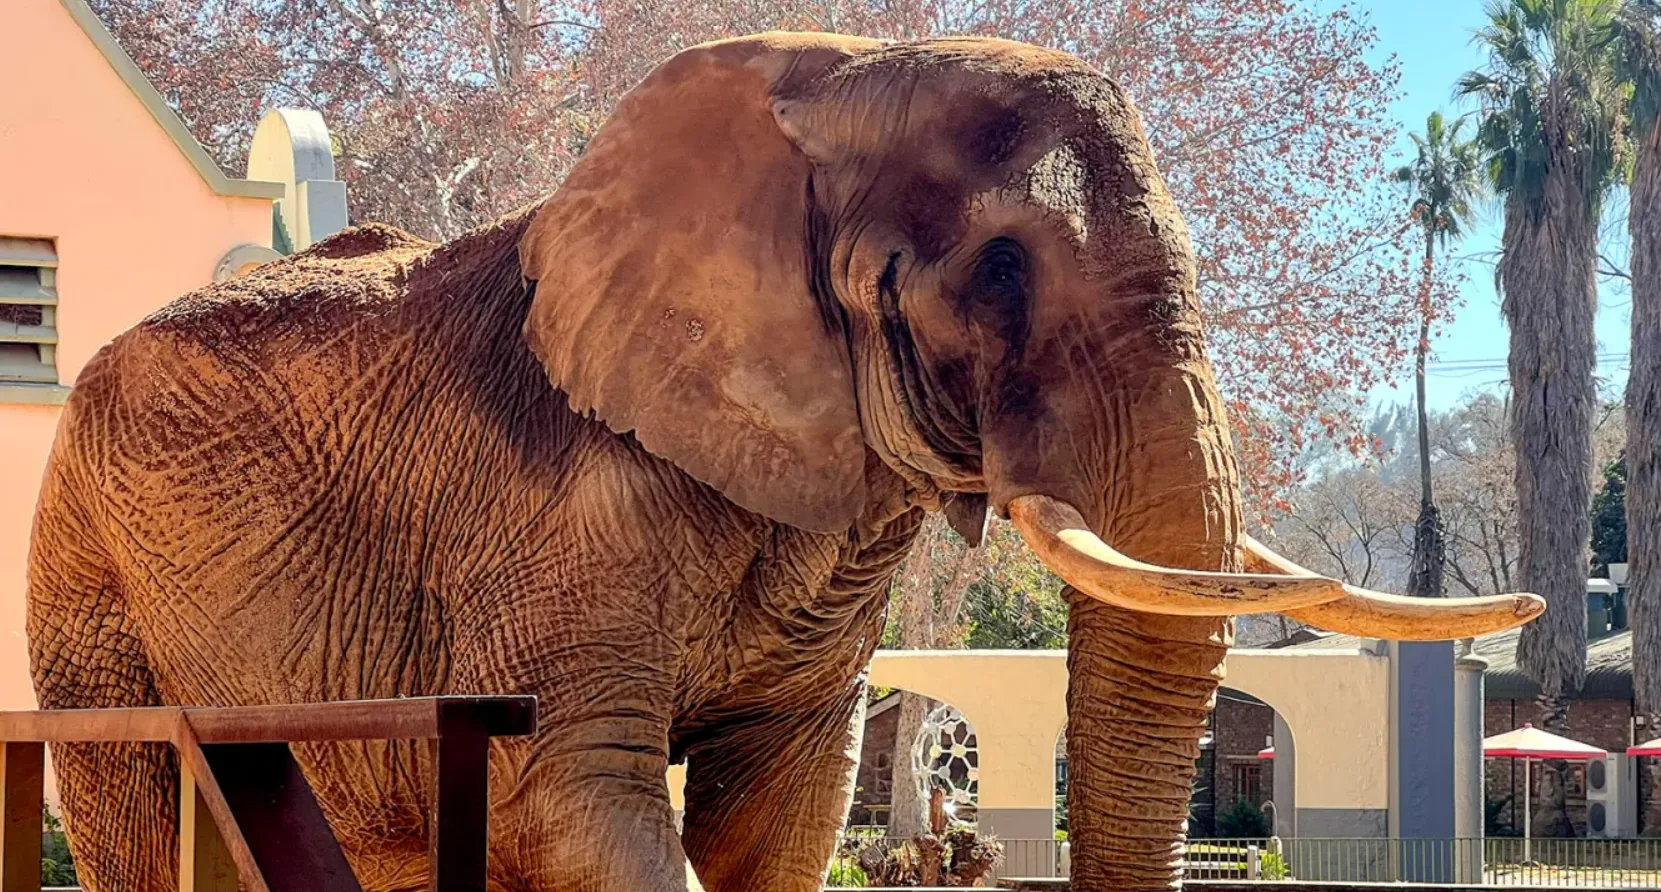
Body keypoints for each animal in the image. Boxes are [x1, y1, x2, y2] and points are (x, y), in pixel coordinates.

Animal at [26, 31, 1543, 892]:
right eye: (1001, 268)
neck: (827, 75)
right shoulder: (543, 516)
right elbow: (564, 803)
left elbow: (784, 810)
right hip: (85, 572)